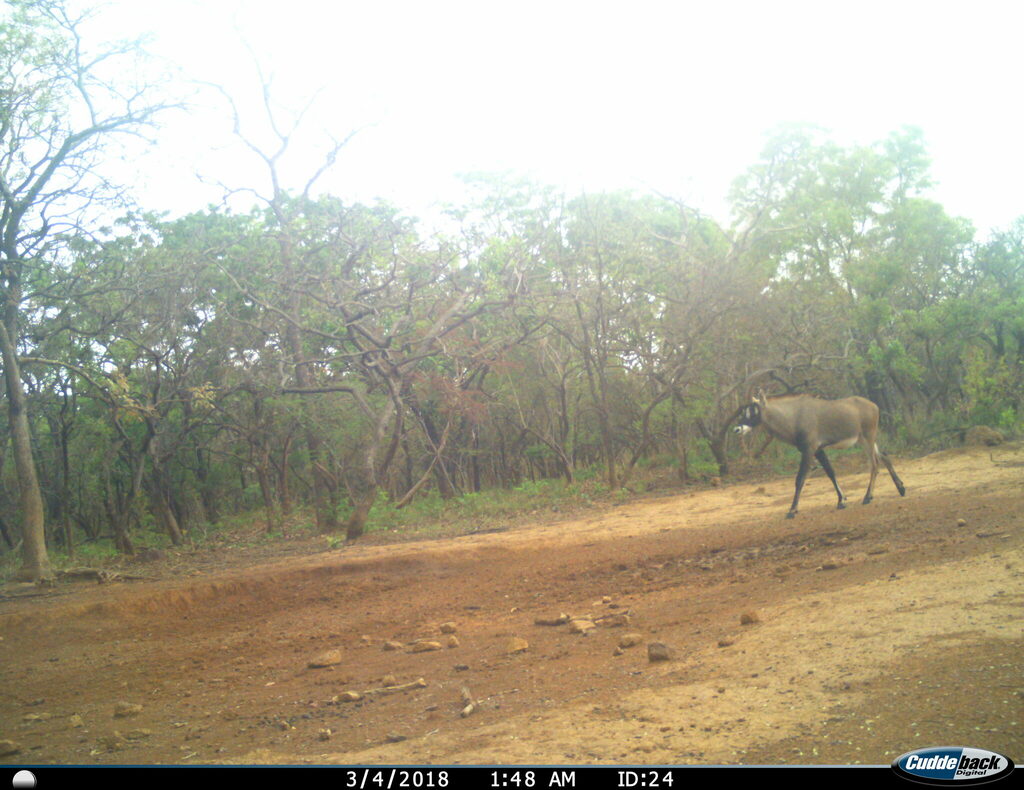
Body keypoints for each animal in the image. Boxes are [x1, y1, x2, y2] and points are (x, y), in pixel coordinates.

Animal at [733, 391, 906, 518]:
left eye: (754, 412)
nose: (737, 429)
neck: (793, 416)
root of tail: (874, 406)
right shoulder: (818, 450)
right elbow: (830, 472)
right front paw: (841, 501)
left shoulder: (809, 450)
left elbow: (800, 479)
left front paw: (792, 510)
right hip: (865, 440)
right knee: (884, 456)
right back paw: (901, 488)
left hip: (868, 437)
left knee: (875, 464)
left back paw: (868, 497)